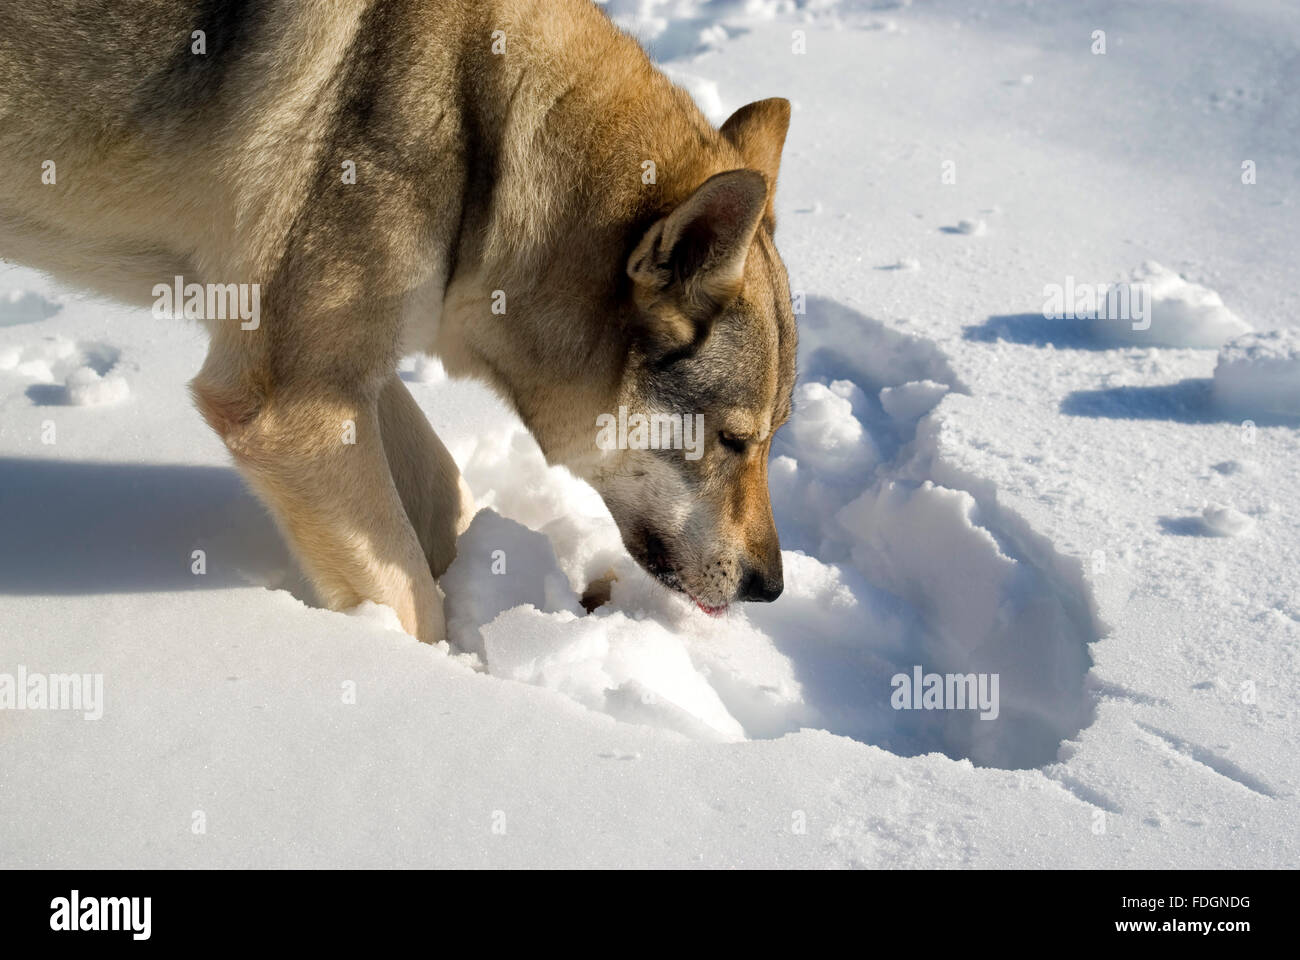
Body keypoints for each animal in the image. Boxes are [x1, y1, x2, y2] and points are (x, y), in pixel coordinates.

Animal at [0, 0, 798, 643]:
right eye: (734, 440)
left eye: (771, 438)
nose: (771, 587)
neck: (484, 146)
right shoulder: (293, 411)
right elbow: (411, 600)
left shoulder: (356, 367)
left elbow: (446, 493)